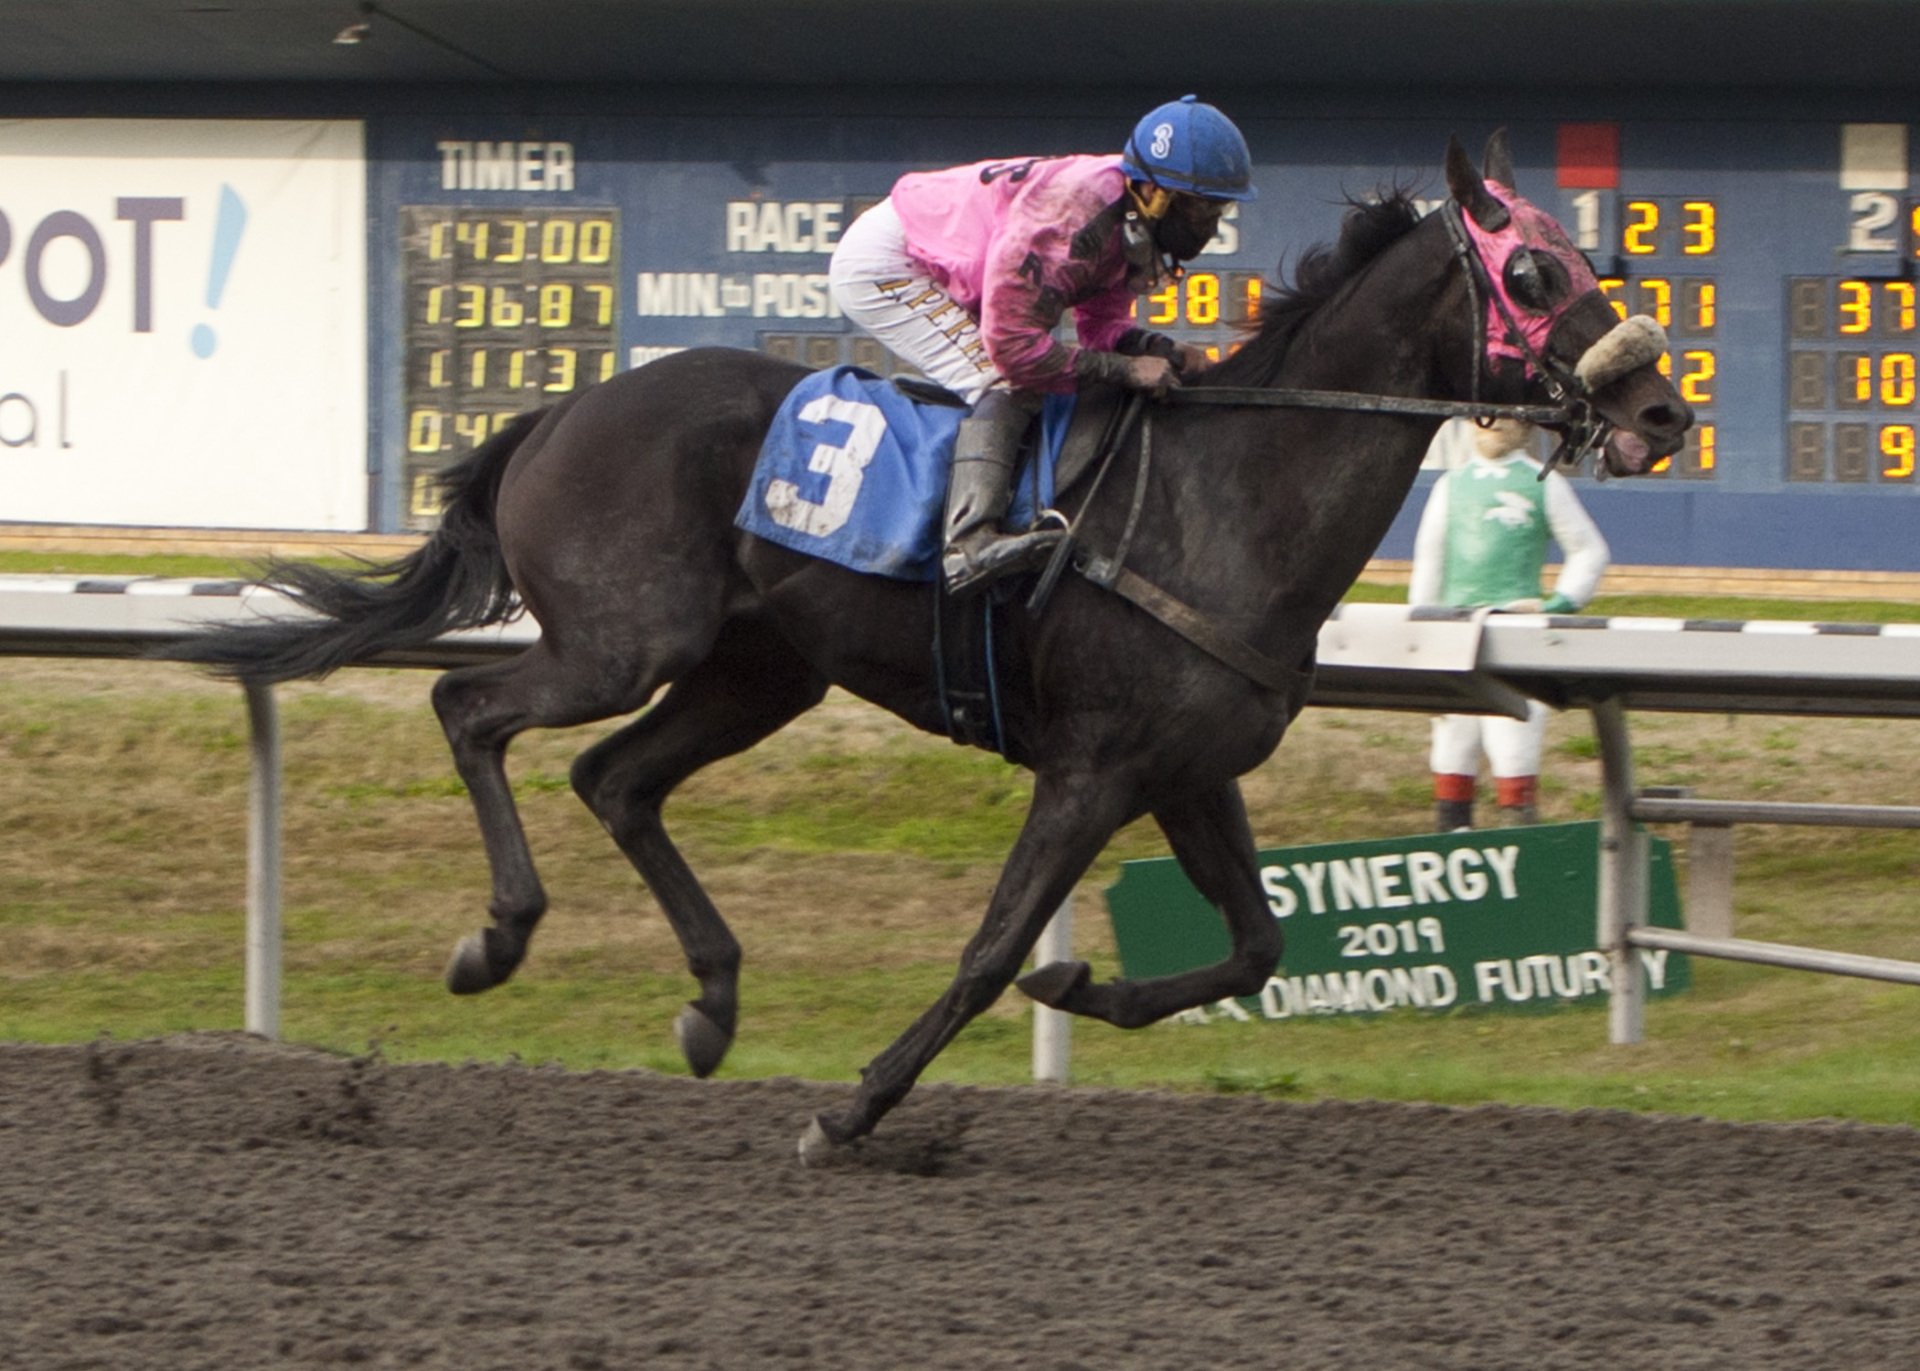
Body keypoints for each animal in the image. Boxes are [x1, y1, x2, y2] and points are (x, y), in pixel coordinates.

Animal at [176, 133, 1691, 1159]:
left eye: (1599, 259)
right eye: (1534, 268)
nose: (1661, 410)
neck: (1229, 498)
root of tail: (562, 407)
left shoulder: (1190, 767)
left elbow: (1256, 949)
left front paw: (1084, 981)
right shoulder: (1092, 766)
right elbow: (988, 943)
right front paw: (856, 1107)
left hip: (758, 669)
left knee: (617, 778)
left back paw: (711, 1001)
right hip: (624, 635)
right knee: (471, 708)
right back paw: (497, 936)